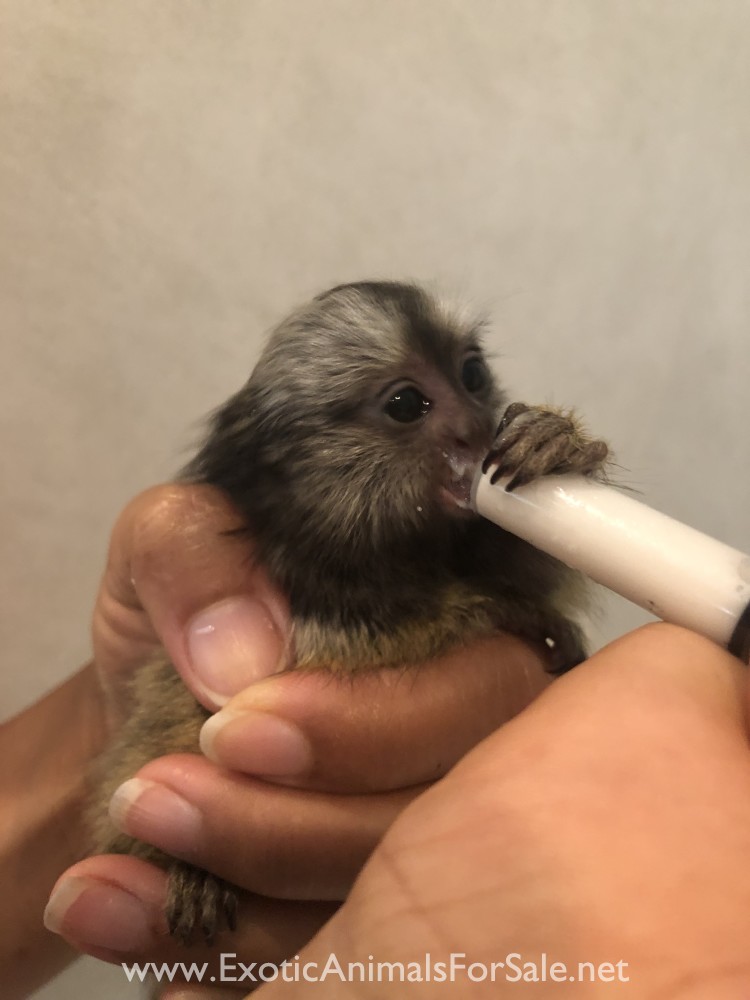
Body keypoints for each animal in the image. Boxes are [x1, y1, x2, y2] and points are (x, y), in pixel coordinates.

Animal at [87, 280, 610, 946]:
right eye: (407, 404)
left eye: (472, 374)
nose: (476, 425)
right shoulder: (321, 598)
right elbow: (396, 627)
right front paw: (507, 610)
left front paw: (554, 439)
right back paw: (196, 870)